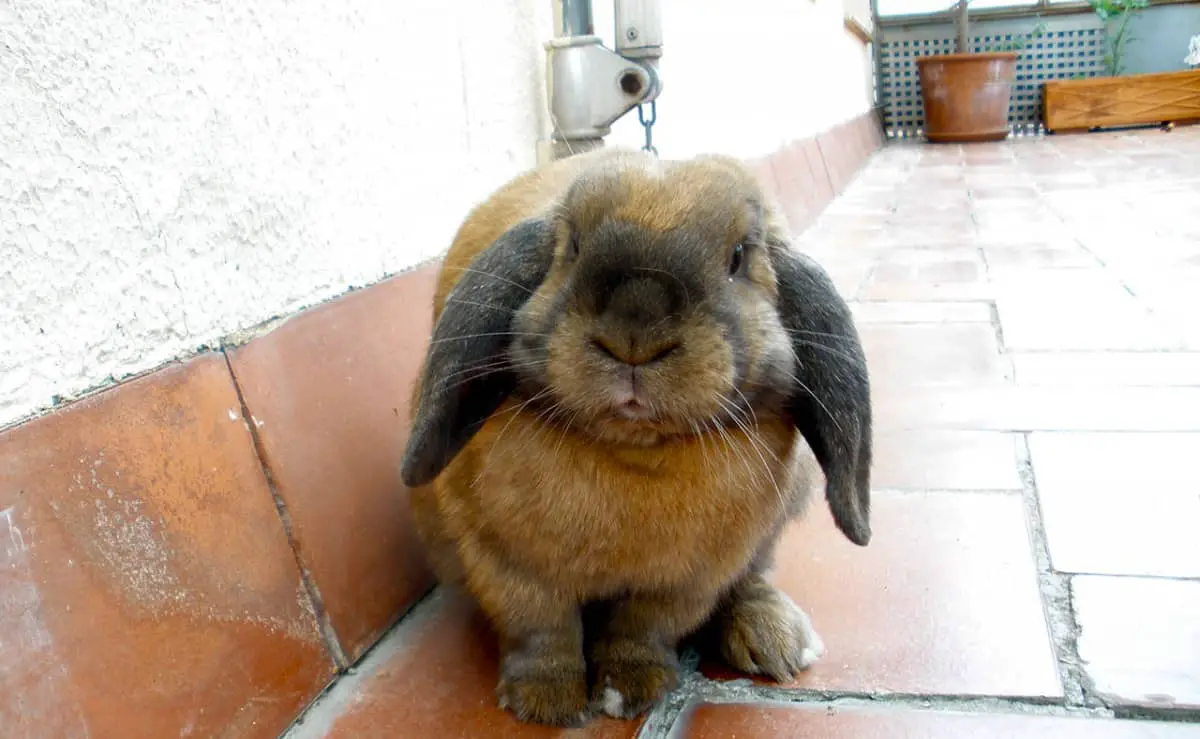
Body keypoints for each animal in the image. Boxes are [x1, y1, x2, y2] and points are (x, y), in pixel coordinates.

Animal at [400, 146, 872, 727]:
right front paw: (547, 703)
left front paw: (630, 689)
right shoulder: (505, 564)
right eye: (572, 246)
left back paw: (776, 640)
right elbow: (542, 631)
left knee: (752, 580)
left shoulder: (686, 581)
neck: (633, 454)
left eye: (738, 257)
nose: (633, 338)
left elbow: (642, 630)